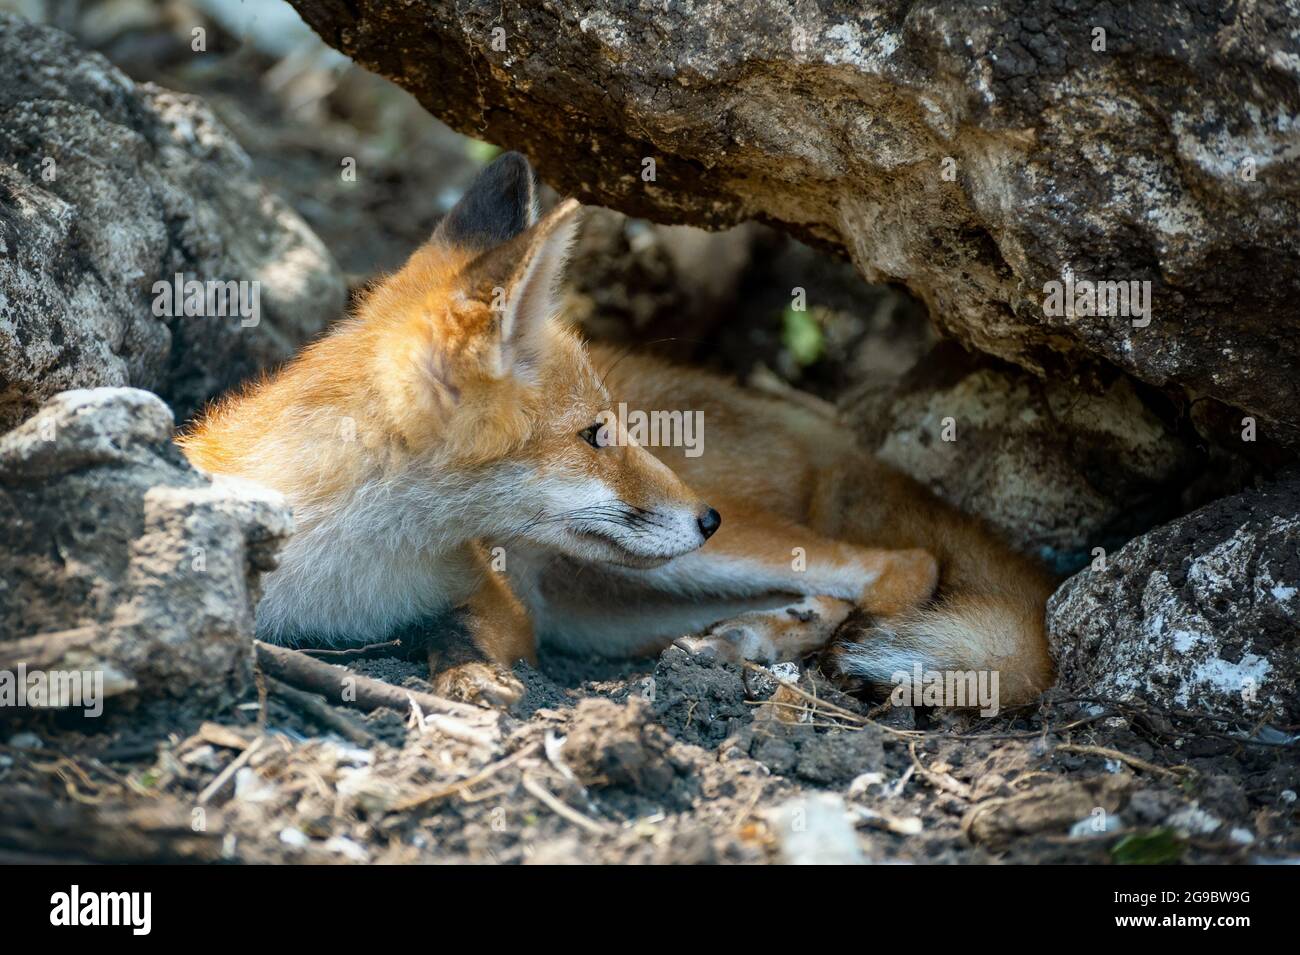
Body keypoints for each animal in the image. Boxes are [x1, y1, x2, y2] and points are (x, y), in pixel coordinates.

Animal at [179, 152, 1055, 708]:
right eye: (595, 434)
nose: (706, 515)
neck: (349, 565)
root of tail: (820, 425)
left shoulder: (500, 601)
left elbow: (453, 628)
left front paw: (465, 676)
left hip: (691, 561)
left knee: (902, 566)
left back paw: (777, 634)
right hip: (611, 600)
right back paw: (767, 632)